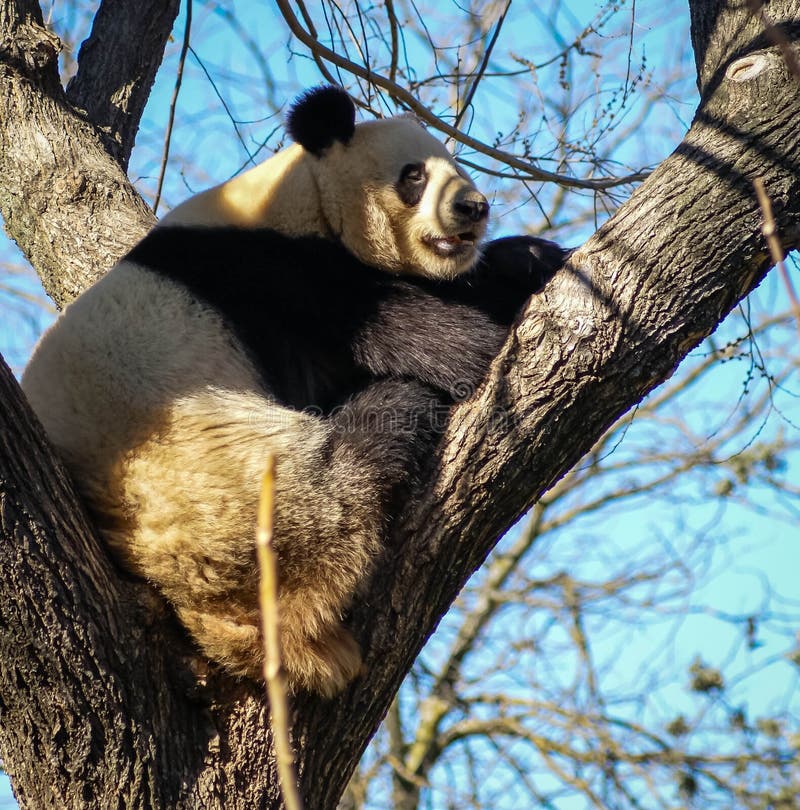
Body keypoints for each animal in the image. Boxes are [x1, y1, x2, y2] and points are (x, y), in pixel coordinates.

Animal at [22, 86, 566, 697]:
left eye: (460, 166)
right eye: (415, 176)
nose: (473, 208)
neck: (299, 197)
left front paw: (531, 258)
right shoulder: (272, 274)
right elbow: (395, 326)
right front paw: (482, 342)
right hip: (243, 500)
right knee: (348, 474)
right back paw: (394, 413)